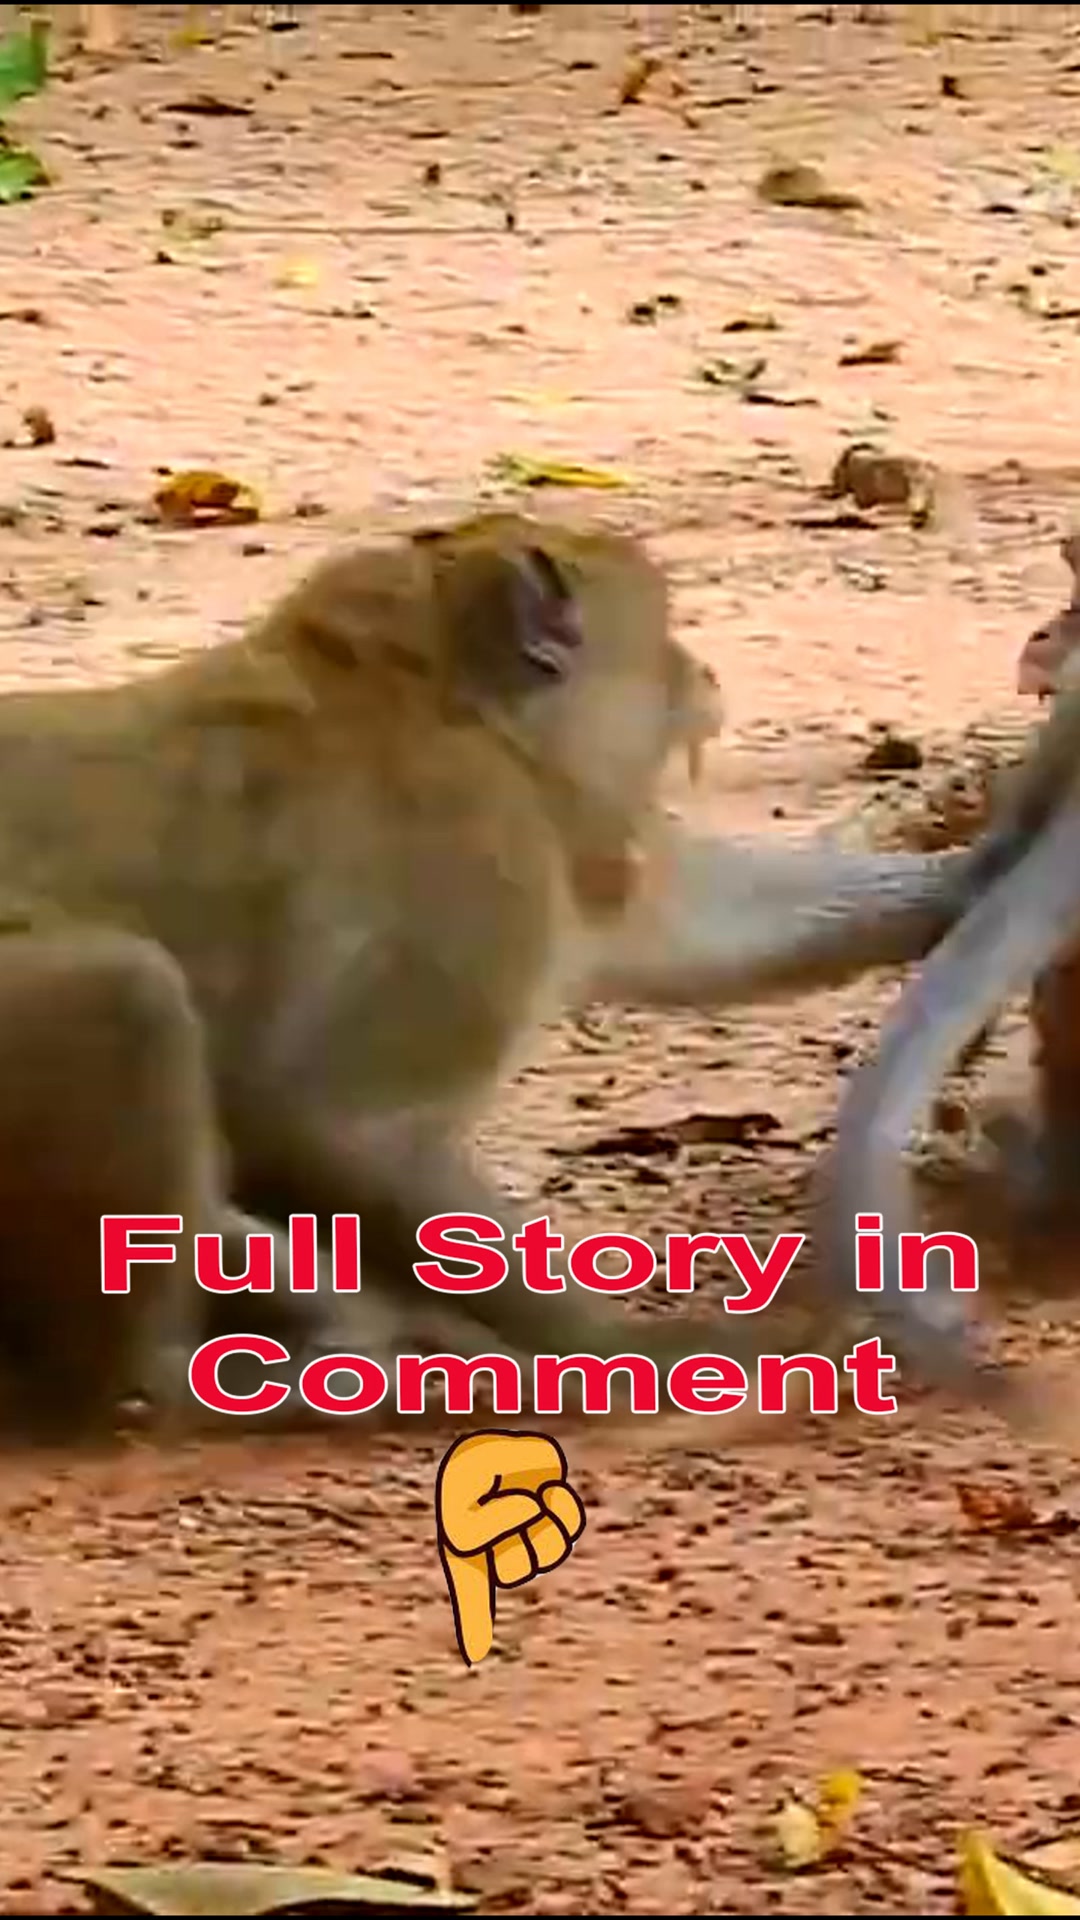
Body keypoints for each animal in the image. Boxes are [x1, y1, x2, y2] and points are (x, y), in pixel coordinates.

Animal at [0, 509, 986, 1439]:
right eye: (665, 633)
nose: (703, 672)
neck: (446, 700)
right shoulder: (482, 852)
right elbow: (330, 1119)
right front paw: (628, 1354)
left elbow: (690, 927)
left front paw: (975, 867)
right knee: (129, 992)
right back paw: (180, 1381)